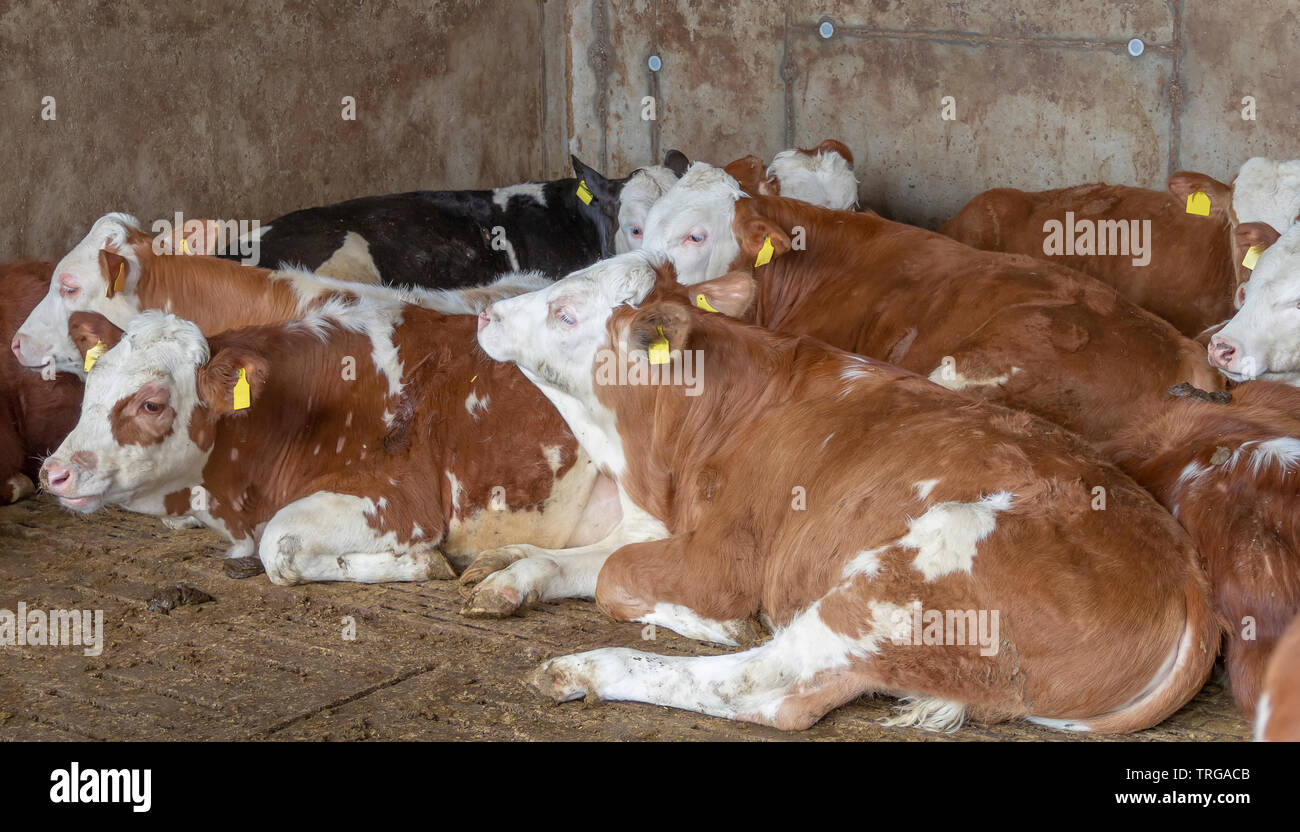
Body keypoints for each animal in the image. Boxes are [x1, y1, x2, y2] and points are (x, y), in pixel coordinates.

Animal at [468, 251, 1218, 733]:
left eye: (565, 311)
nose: (486, 312)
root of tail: (1187, 571)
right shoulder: (653, 526)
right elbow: (576, 560)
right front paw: (504, 575)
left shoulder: (719, 561)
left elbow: (614, 578)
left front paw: (717, 623)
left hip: (910, 573)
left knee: (770, 687)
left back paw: (584, 670)